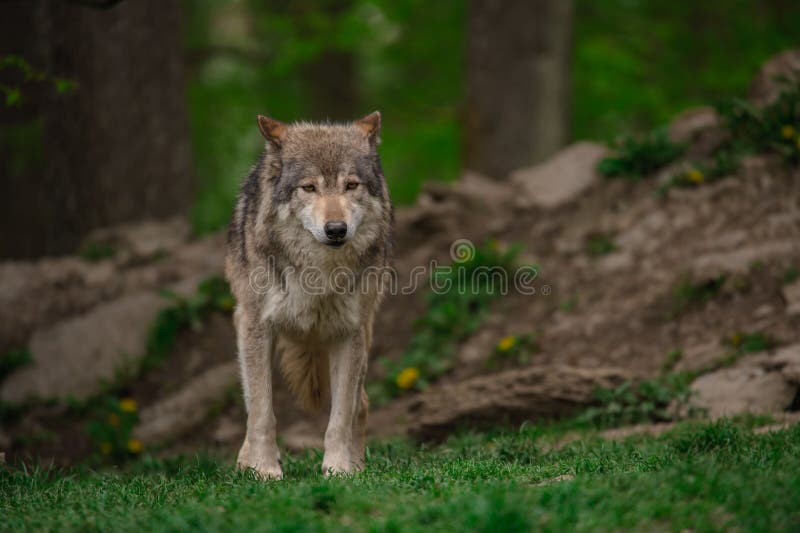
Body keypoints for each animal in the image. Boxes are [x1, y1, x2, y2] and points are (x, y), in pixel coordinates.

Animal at [225, 112, 392, 478]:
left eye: (351, 185)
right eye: (309, 187)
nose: (336, 229)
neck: (318, 274)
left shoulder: (349, 333)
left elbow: (340, 417)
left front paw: (339, 470)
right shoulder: (255, 325)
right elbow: (261, 411)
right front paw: (264, 470)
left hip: (363, 337)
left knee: (362, 403)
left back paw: (359, 465)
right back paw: (245, 462)